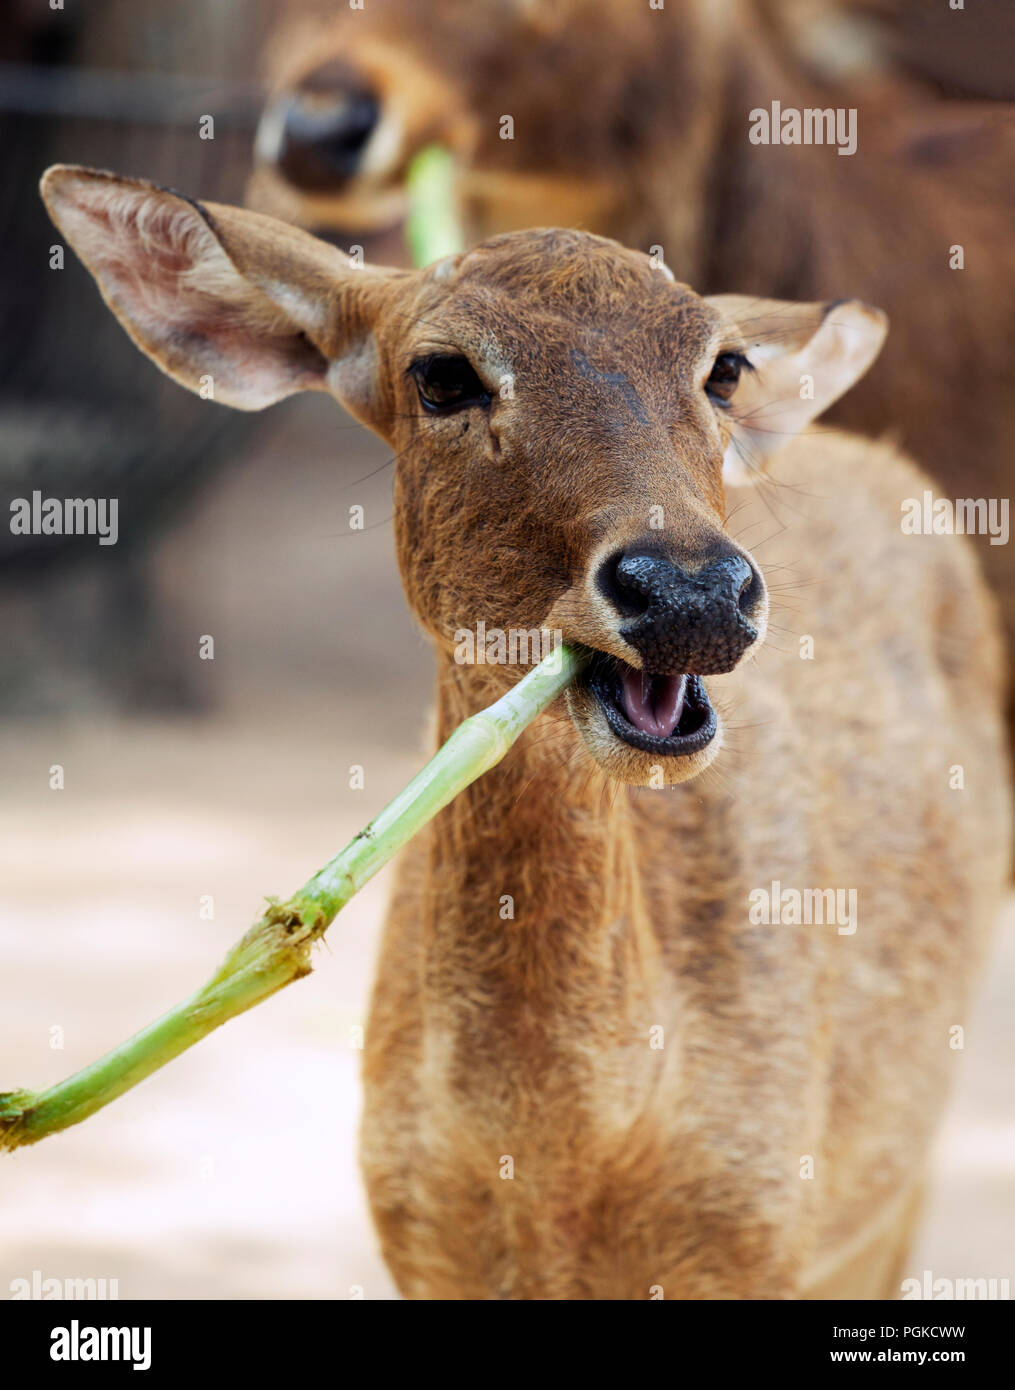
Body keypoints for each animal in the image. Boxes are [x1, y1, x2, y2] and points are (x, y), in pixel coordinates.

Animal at [41, 164, 1011, 1299]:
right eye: (441, 375)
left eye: (723, 367)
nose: (690, 591)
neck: (567, 1157)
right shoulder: (419, 1244)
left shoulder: (764, 1233)